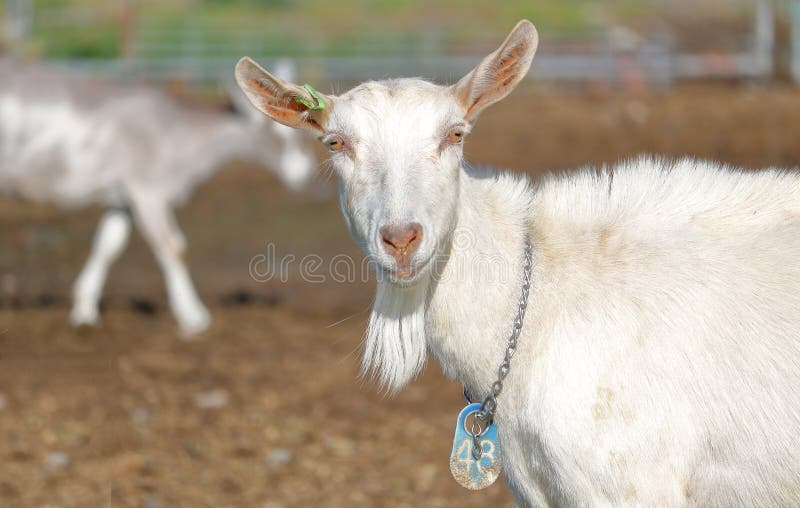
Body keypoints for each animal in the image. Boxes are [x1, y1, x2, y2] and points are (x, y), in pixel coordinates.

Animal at [0, 58, 315, 336]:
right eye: (278, 133)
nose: (303, 172)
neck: (175, 133)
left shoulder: (123, 197)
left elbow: (108, 245)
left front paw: (84, 311)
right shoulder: (149, 192)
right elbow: (172, 246)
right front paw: (193, 316)